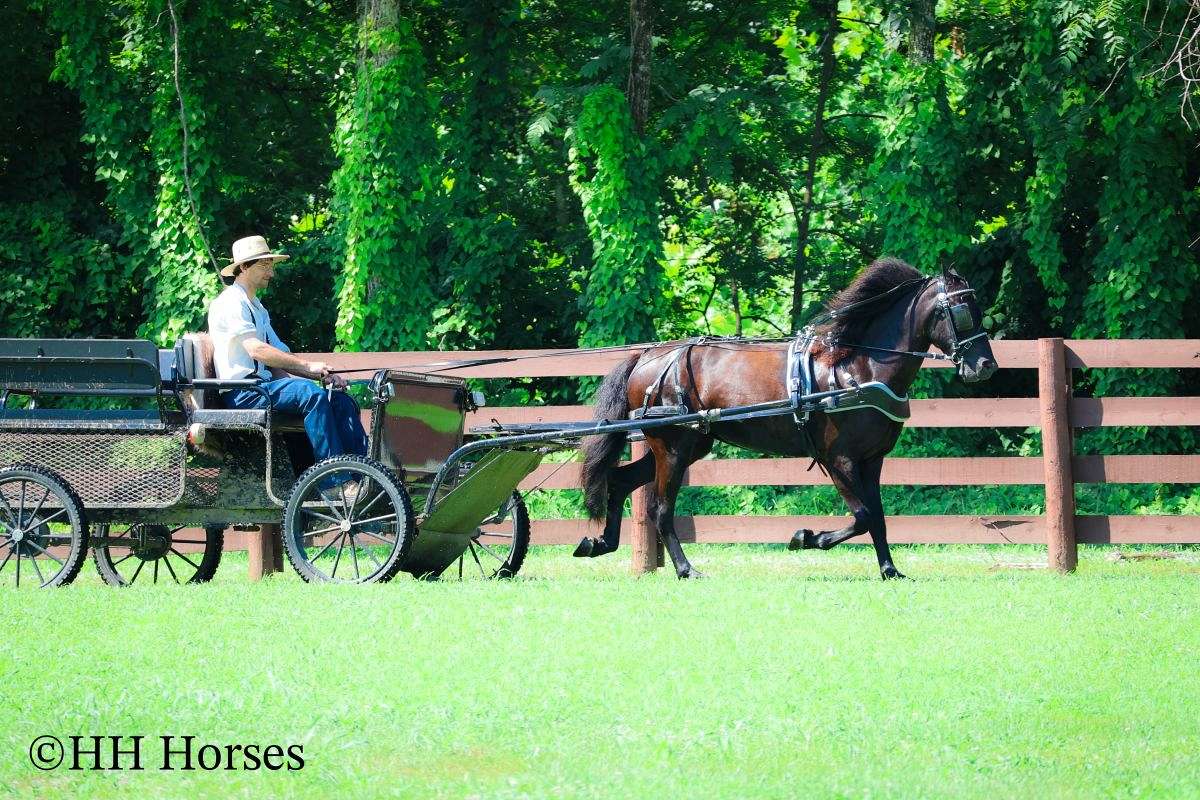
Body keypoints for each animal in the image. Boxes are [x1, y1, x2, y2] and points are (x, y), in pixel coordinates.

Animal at [574, 257, 998, 579]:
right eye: (962, 311)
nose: (985, 367)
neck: (857, 367)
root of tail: (647, 357)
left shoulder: (871, 460)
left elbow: (877, 517)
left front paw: (890, 570)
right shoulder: (838, 459)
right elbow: (861, 516)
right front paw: (806, 537)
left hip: (687, 445)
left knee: (620, 481)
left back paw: (598, 543)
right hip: (673, 449)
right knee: (660, 510)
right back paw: (685, 569)